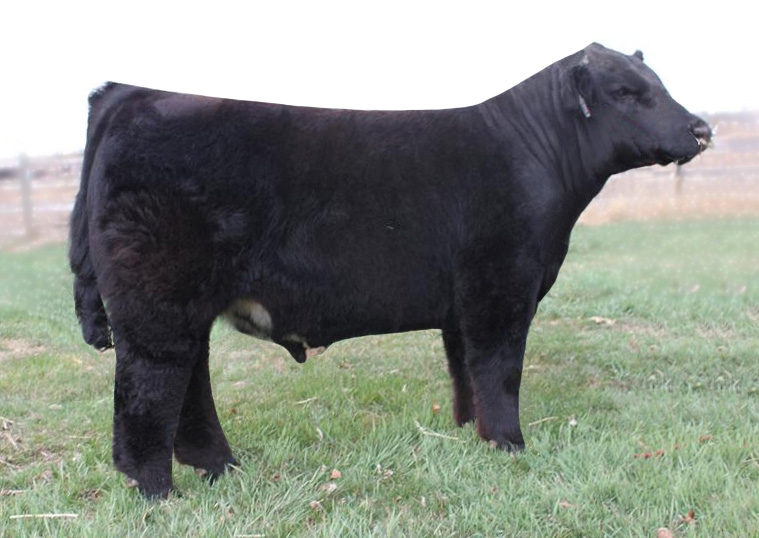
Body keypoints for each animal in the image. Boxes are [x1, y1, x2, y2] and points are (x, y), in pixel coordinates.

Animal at [69, 43, 711, 498]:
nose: (702, 129)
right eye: (627, 92)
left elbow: (465, 371)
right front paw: (510, 445)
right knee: (150, 389)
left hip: (185, 307)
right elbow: (500, 369)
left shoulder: (462, 303)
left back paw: (221, 467)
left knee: (189, 382)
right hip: (157, 305)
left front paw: (469, 434)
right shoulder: (501, 287)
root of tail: (132, 93)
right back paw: (159, 491)